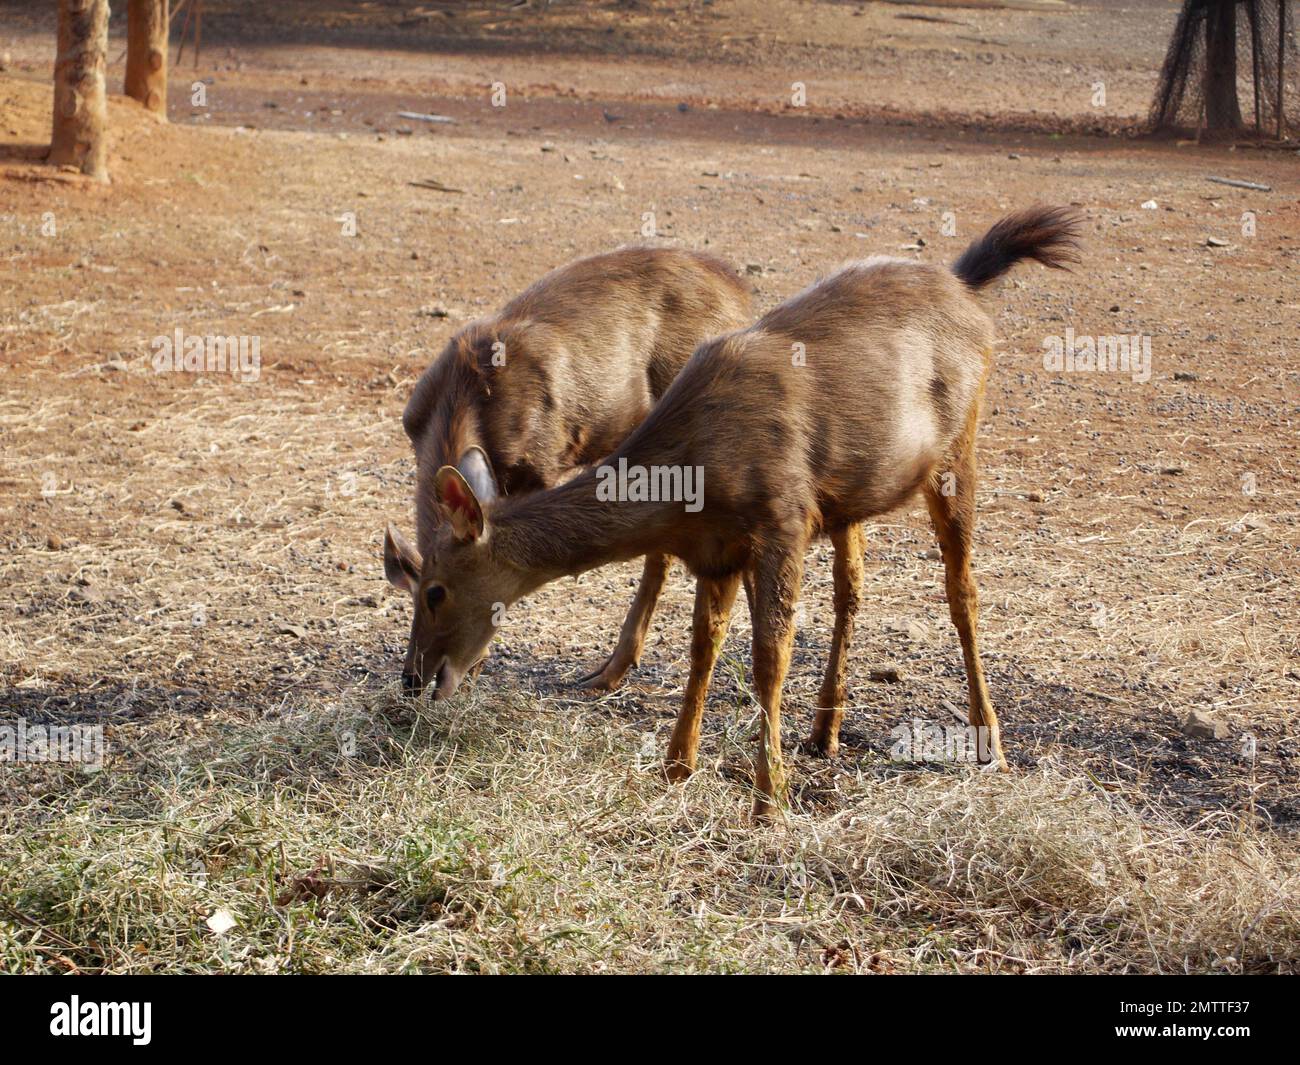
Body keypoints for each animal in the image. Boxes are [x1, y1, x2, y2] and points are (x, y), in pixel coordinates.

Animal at [394, 207, 1082, 817]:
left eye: (434, 590)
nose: (414, 678)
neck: (689, 480)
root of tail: (965, 283)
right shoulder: (717, 551)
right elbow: (704, 647)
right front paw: (677, 767)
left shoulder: (782, 521)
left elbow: (768, 660)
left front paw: (768, 800)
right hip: (851, 495)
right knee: (853, 589)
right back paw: (824, 732)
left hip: (957, 452)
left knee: (962, 590)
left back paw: (989, 742)